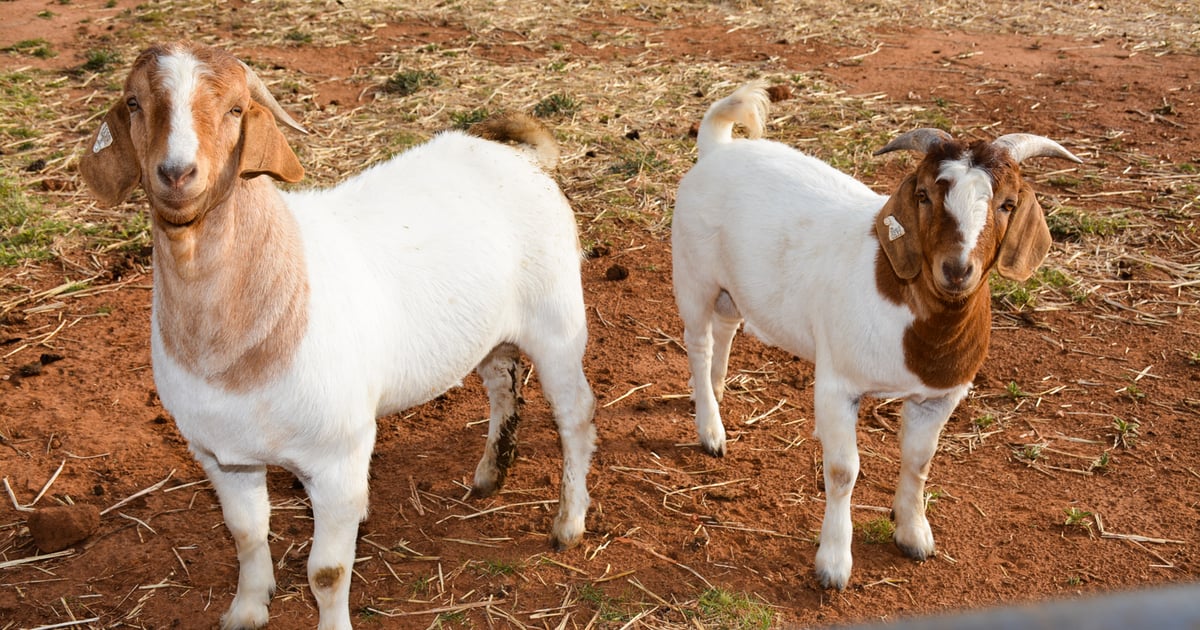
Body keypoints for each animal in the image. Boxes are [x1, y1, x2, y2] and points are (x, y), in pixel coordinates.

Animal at [78, 41, 596, 630]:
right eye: (135, 103)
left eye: (236, 109)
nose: (176, 173)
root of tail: (517, 155)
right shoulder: (220, 455)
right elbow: (246, 534)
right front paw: (247, 609)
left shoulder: (338, 455)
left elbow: (326, 572)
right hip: (490, 329)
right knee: (504, 382)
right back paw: (490, 474)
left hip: (557, 319)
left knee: (575, 414)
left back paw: (568, 523)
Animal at [672, 82, 1080, 590]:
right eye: (923, 195)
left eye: (1007, 204)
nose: (956, 270)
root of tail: (718, 148)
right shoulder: (837, 386)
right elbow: (843, 470)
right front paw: (833, 563)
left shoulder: (940, 396)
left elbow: (919, 461)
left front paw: (913, 534)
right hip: (694, 273)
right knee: (698, 340)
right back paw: (710, 427)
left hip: (733, 286)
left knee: (726, 326)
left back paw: (716, 388)